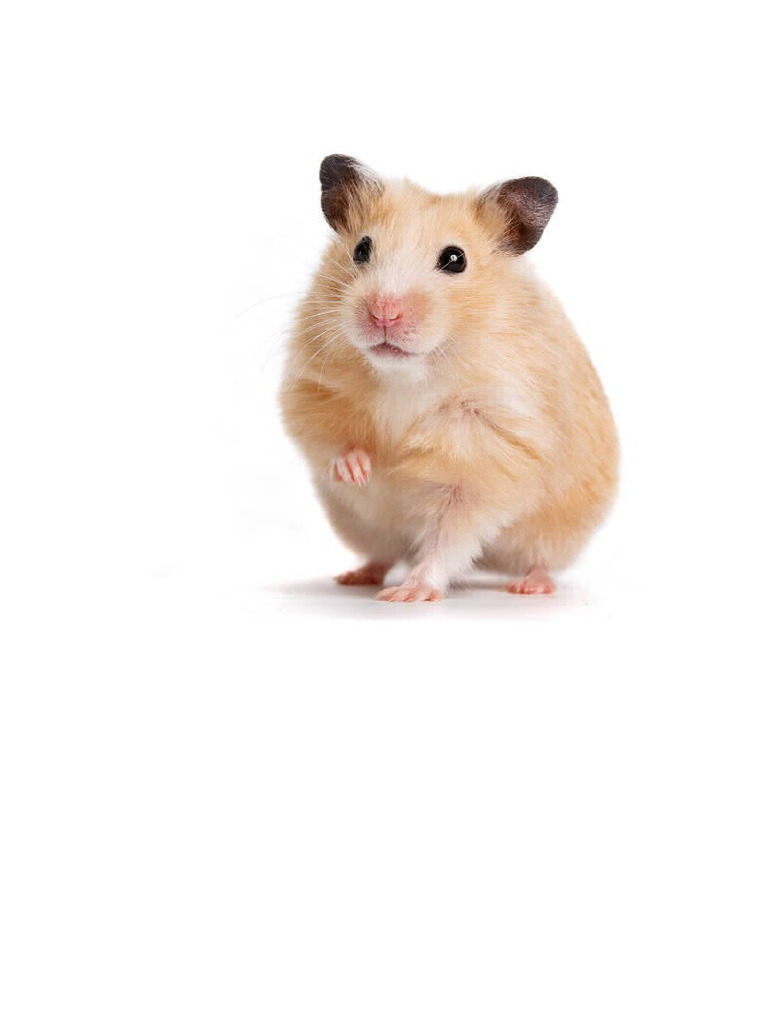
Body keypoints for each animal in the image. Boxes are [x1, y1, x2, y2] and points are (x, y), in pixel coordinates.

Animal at [280, 155, 618, 602]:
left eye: (455, 259)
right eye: (361, 248)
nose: (384, 313)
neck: (407, 374)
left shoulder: (488, 457)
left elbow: (449, 536)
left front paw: (408, 594)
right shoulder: (310, 386)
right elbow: (328, 438)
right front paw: (360, 470)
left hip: (556, 532)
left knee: (538, 559)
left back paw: (529, 586)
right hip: (361, 526)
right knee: (384, 553)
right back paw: (356, 576)